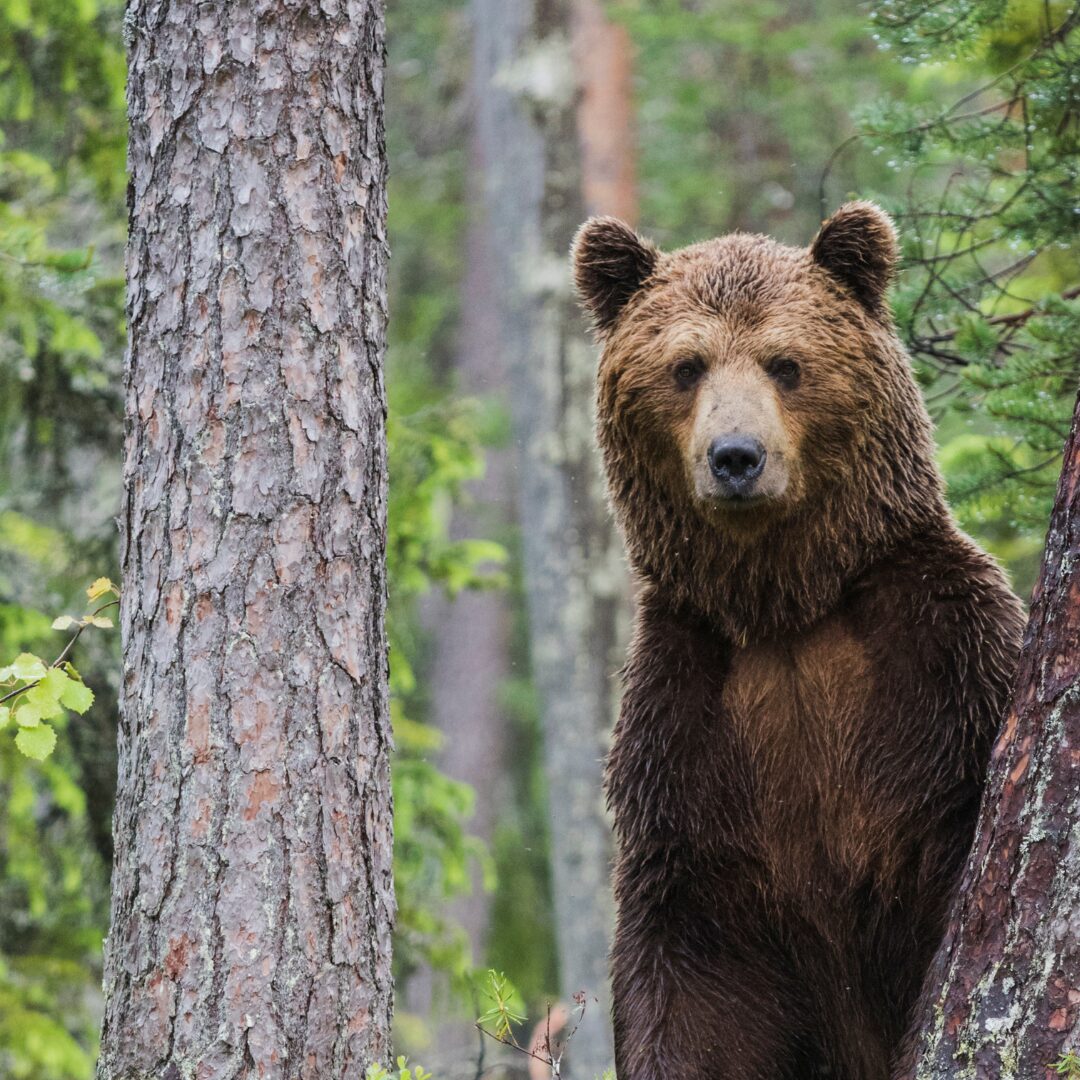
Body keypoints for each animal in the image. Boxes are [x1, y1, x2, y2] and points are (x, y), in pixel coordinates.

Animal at [570, 202, 1025, 1080]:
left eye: (785, 362)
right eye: (686, 365)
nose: (735, 456)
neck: (787, 610)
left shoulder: (942, 671)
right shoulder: (692, 730)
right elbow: (692, 975)